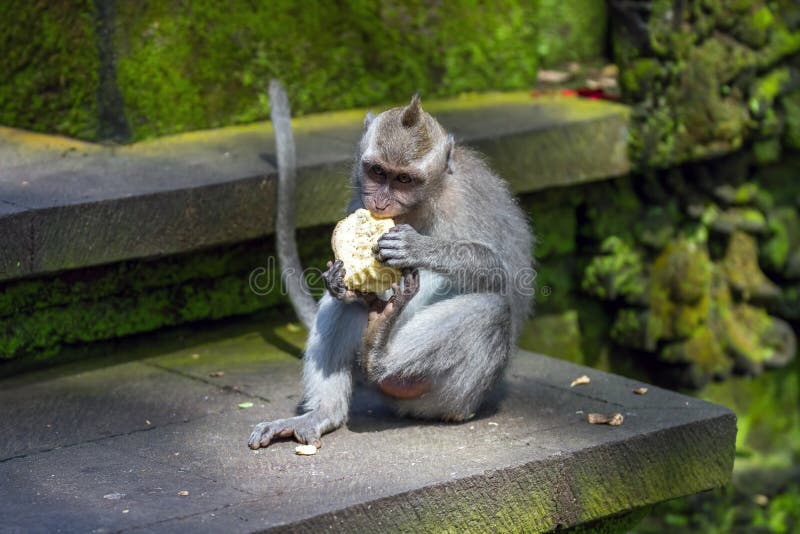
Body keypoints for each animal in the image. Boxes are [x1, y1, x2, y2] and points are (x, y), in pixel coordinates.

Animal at [248, 81, 534, 449]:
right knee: (343, 309)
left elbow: (503, 272)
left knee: (493, 310)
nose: (382, 202)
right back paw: (324, 412)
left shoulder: (463, 201)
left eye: (404, 180)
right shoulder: (359, 196)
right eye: (378, 172)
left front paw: (418, 246)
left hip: (452, 398)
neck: (422, 203)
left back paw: (380, 353)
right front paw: (336, 280)